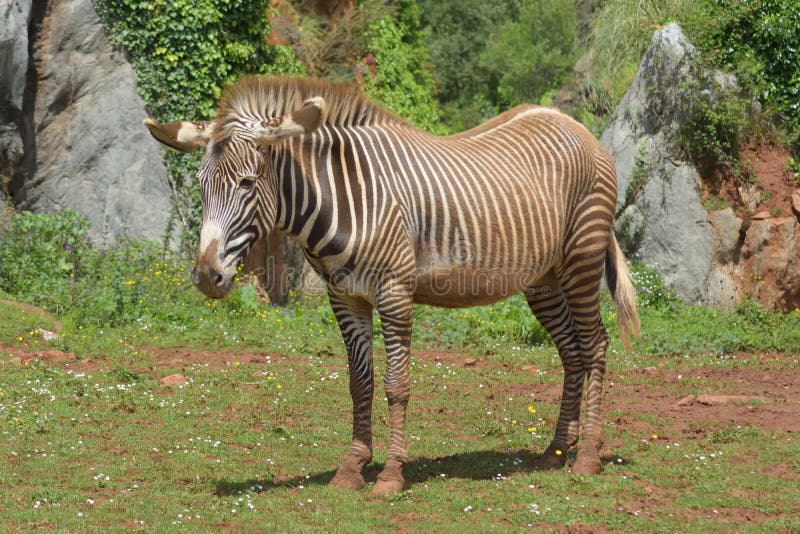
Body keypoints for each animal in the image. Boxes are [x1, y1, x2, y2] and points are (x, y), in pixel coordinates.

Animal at [144, 76, 640, 496]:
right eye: (201, 185)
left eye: (247, 183)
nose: (206, 276)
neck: (339, 200)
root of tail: (573, 123)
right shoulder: (345, 297)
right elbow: (359, 383)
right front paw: (352, 468)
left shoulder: (395, 292)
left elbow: (396, 385)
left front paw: (392, 474)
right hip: (543, 280)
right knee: (572, 352)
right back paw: (556, 451)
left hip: (581, 259)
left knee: (595, 345)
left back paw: (588, 456)